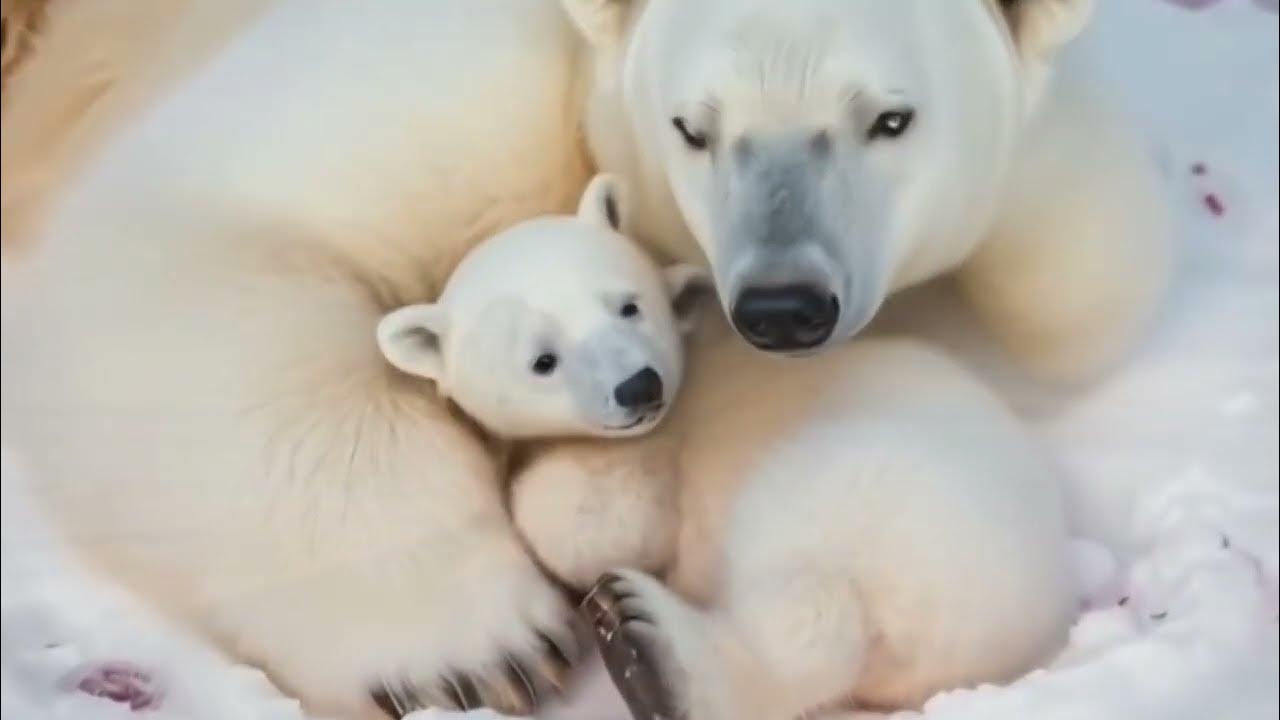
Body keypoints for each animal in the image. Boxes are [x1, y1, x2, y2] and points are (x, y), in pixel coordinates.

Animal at [0, 0, 1167, 717]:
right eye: (692, 126)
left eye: (889, 119)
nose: (782, 305)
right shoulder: (473, 80)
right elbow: (189, 241)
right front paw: (474, 645)